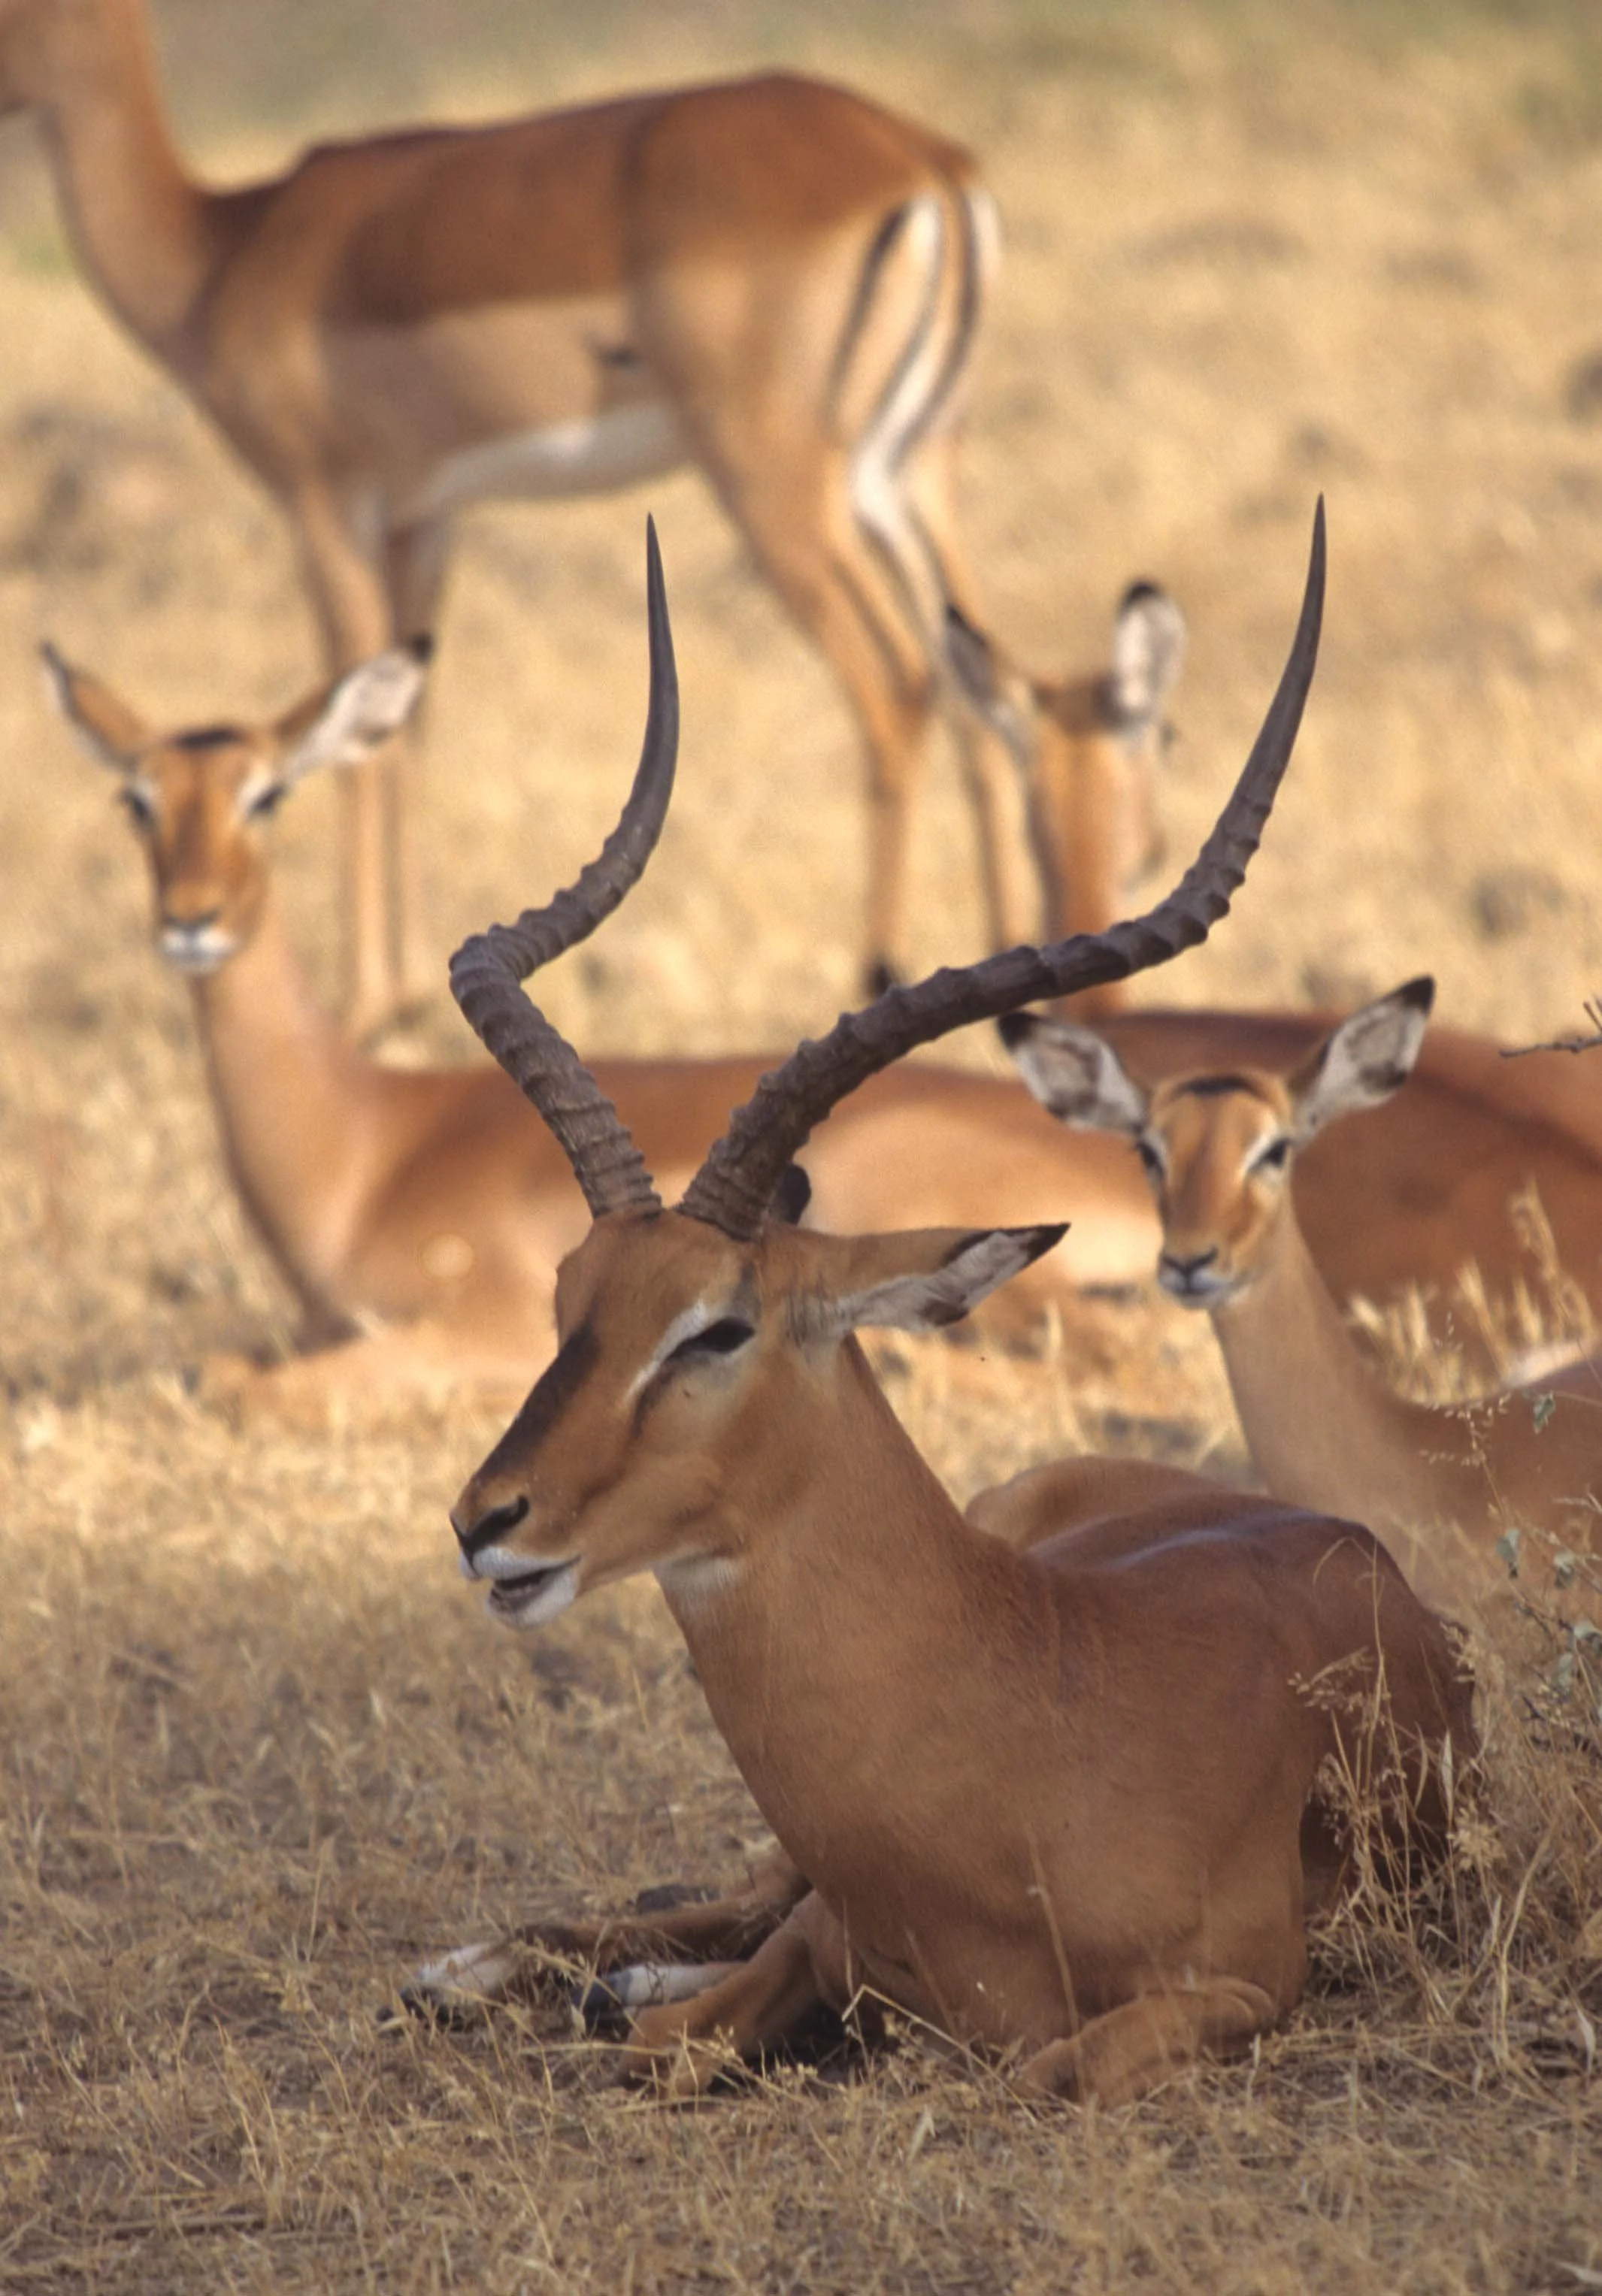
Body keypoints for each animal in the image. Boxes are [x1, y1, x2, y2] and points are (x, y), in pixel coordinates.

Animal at [0, 0, 1039, 1029]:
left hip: (775, 482)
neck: (226, 251)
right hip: (906, 476)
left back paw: (877, 970)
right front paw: (406, 991)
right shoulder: (422, 519)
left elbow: (350, 737)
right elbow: (405, 729)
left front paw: (365, 1005)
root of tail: (919, 157)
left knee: (895, 682)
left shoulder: (325, 507)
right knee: (982, 681)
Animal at [407, 505, 1474, 2108]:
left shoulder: (1229, 1996)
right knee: (701, 1905)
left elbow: (1039, 2077)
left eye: (716, 1325)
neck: (1036, 1720)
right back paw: (484, 1969)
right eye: (566, 1298)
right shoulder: (828, 1934)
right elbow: (677, 2039)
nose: (491, 1522)